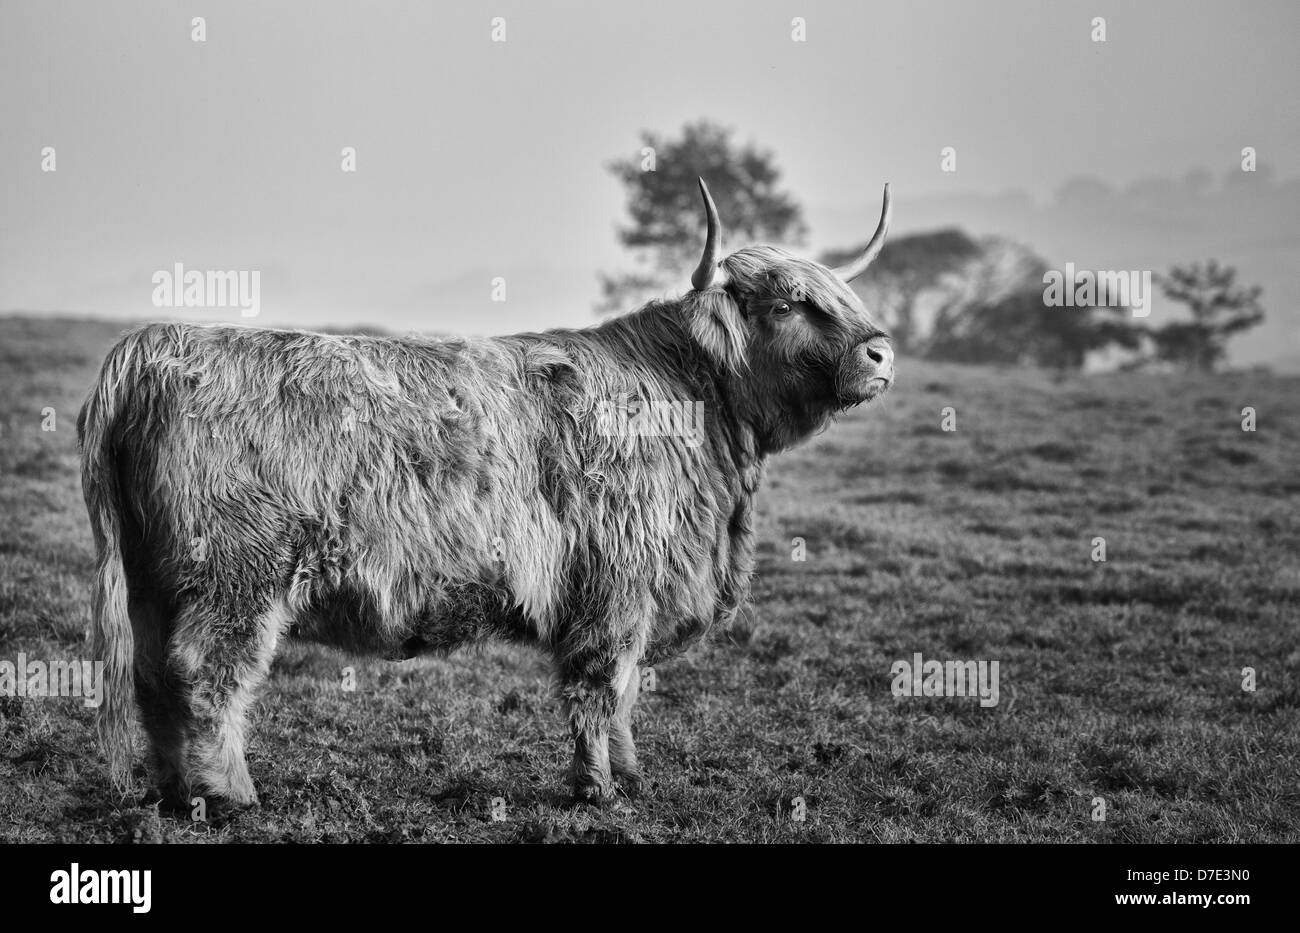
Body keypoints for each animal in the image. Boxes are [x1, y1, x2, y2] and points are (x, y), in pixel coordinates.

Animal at [79, 180, 895, 809]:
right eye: (787, 306)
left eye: (839, 296)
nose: (880, 351)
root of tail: (154, 345)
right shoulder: (614, 585)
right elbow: (602, 684)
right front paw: (598, 788)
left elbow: (627, 691)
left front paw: (630, 776)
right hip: (235, 575)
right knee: (206, 674)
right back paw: (230, 793)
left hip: (154, 579)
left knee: (153, 676)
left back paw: (174, 792)